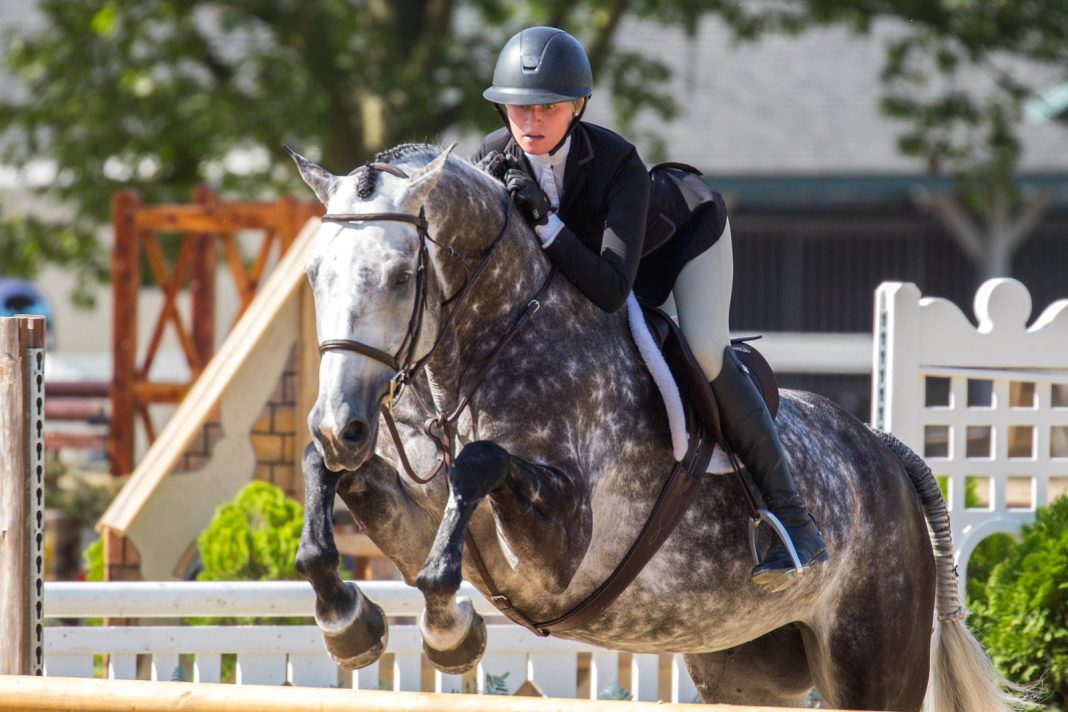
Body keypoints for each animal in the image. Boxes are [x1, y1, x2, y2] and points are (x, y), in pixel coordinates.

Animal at [286, 142, 1024, 711]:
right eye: (315, 274)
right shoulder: (413, 512)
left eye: (400, 275)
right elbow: (331, 486)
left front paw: (447, 633)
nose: (342, 424)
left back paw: (796, 535)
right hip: (745, 667)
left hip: (874, 663)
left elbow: (479, 465)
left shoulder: (560, 553)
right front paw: (352, 625)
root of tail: (886, 453)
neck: (481, 354)